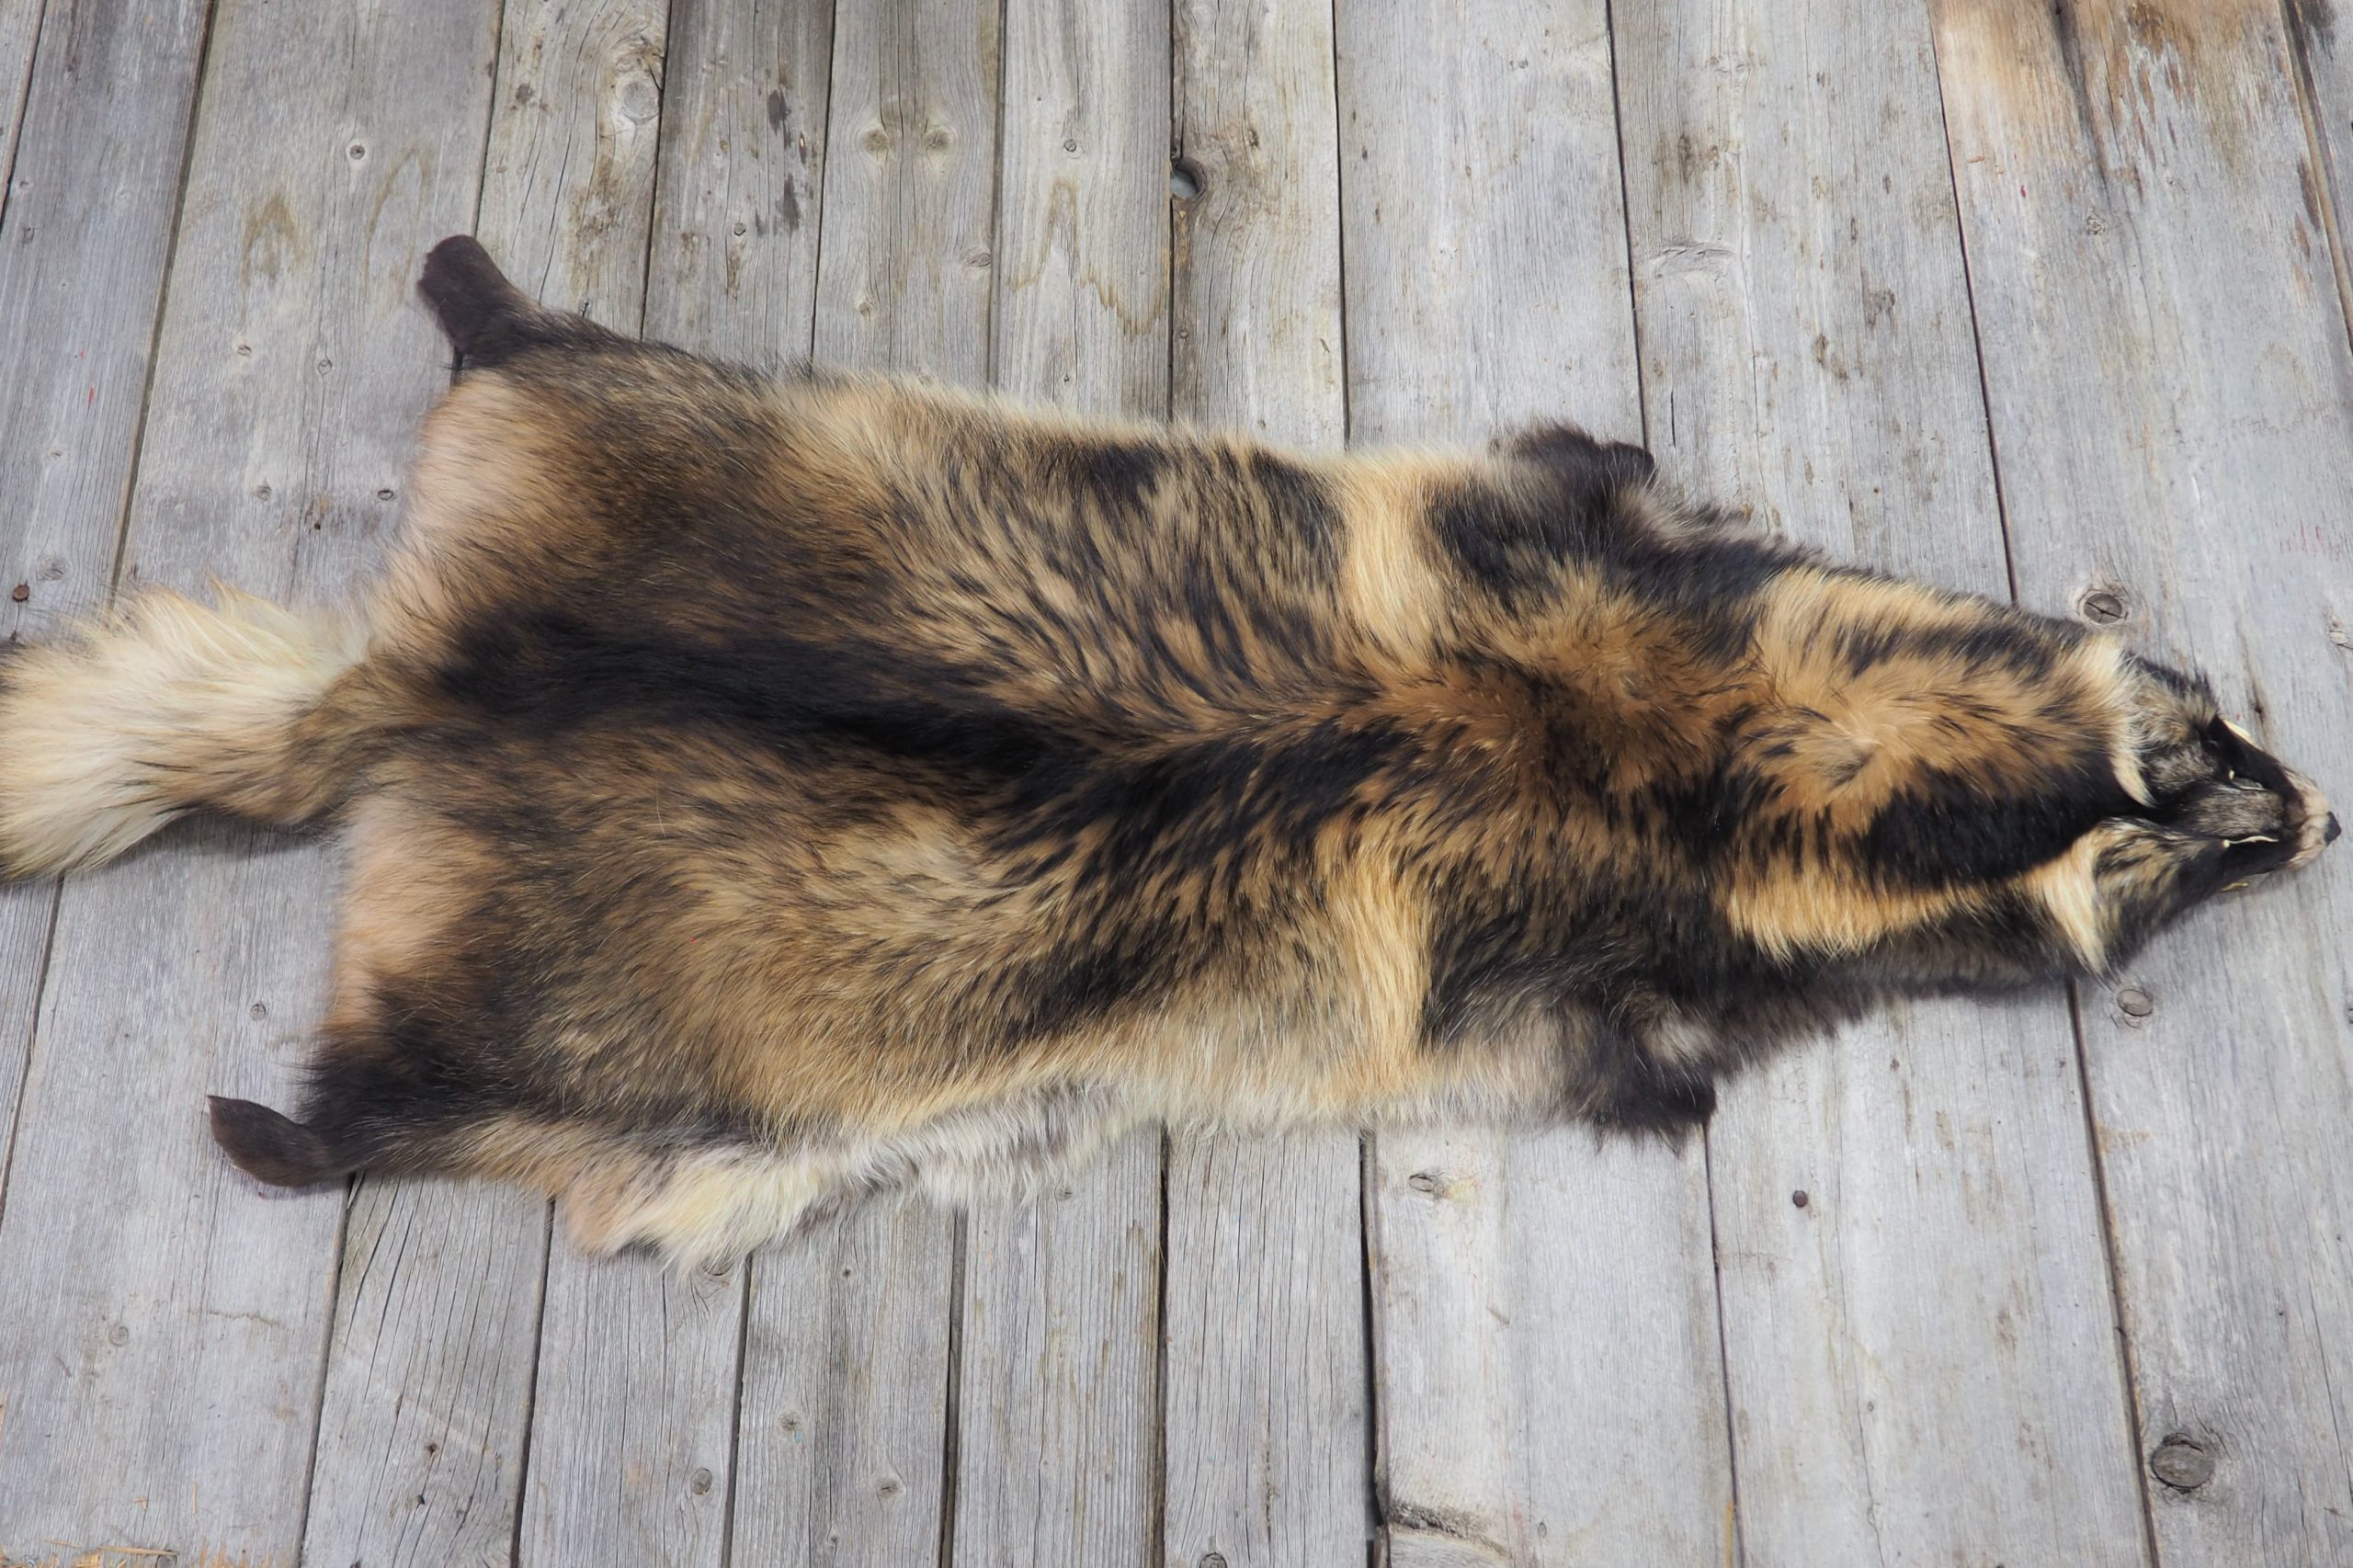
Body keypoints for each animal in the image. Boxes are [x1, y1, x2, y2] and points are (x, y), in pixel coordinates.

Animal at [0, 236, 2333, 1268]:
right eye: (2179, 859)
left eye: (2215, 722)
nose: (2313, 810)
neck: (1703, 735)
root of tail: (448, 682)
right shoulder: (1576, 902)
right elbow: (1606, 1039)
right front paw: (1670, 1086)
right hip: (585, 1051)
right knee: (417, 1104)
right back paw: (299, 1130)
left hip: (658, 422)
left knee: (557, 354)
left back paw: (479, 290)